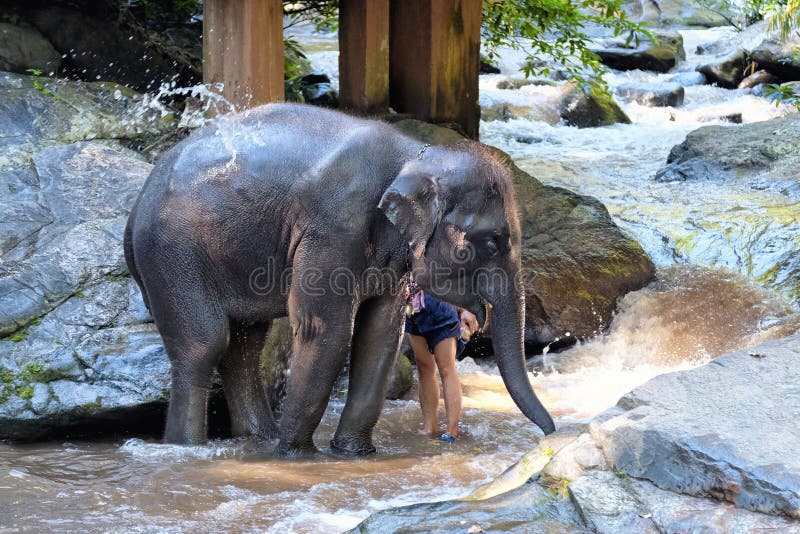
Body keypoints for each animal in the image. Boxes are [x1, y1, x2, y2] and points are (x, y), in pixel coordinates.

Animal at [124, 103, 555, 456]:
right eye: (493, 242)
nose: (551, 434)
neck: (417, 155)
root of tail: (139, 200)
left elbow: (380, 333)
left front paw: (353, 453)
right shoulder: (333, 228)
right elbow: (325, 328)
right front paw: (295, 456)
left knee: (244, 346)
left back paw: (256, 441)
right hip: (171, 255)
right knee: (206, 344)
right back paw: (188, 448)